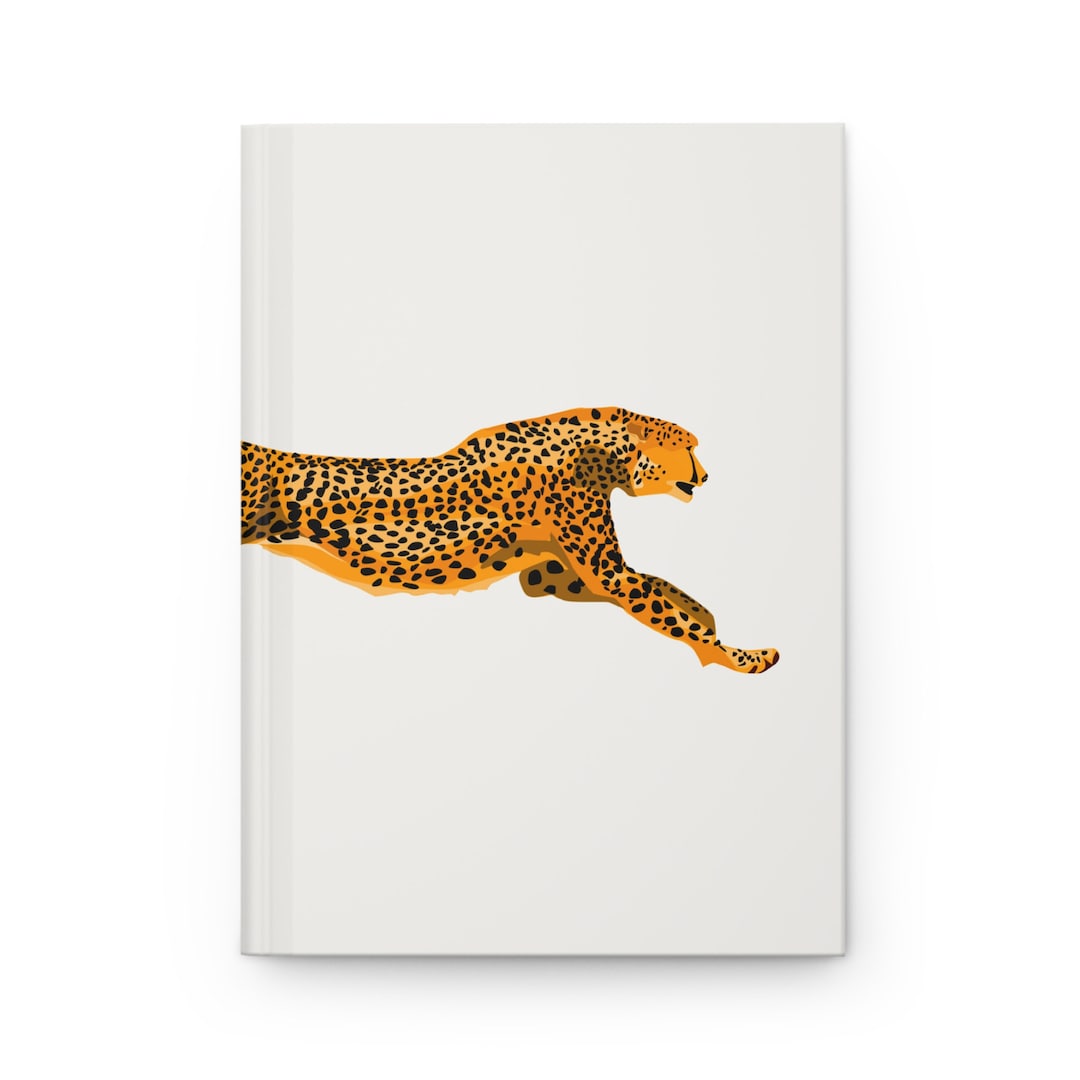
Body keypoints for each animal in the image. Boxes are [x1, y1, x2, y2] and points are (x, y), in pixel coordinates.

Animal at [241, 406, 779, 673]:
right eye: (690, 449)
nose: (707, 475)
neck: (609, 450)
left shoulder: (550, 576)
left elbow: (664, 587)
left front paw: (707, 615)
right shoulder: (603, 573)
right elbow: (662, 606)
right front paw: (740, 655)